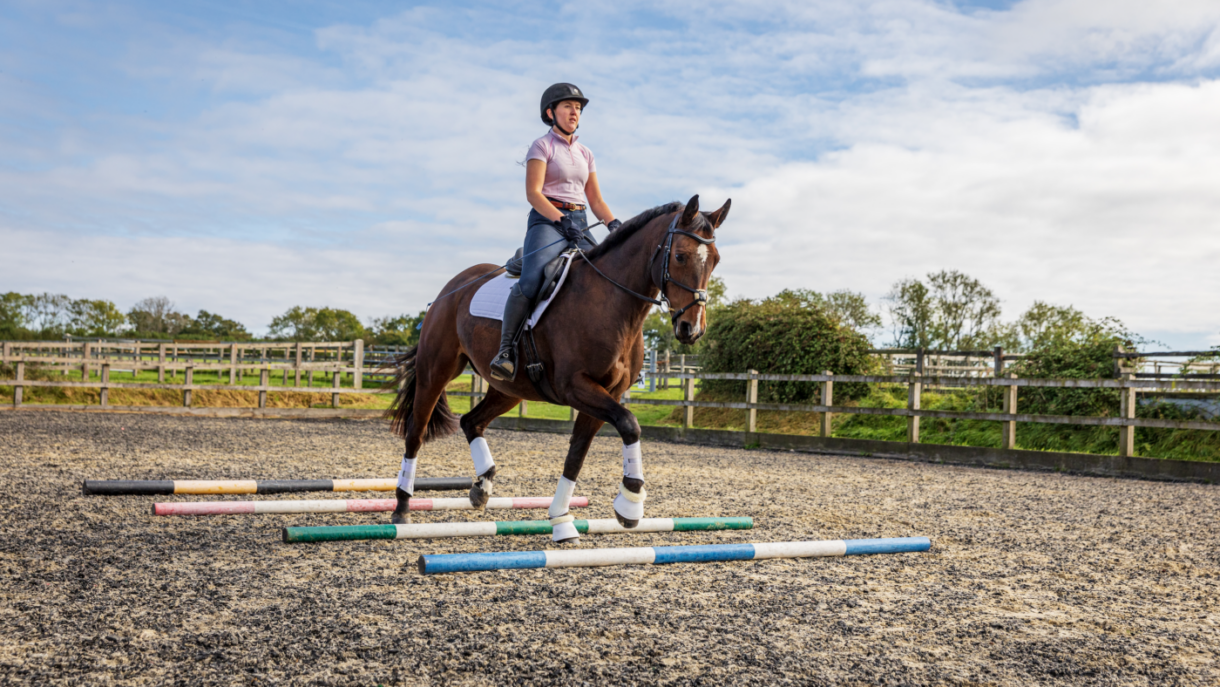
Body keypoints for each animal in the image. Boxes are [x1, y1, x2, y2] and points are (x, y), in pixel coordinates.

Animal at [386, 194, 729, 542]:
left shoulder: (608, 392)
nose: (692, 329)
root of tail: (451, 289)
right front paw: (630, 504)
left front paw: (562, 520)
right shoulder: (575, 386)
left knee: (471, 421)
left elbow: (577, 454)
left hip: (510, 388)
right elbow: (630, 424)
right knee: (416, 433)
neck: (610, 301)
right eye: (680, 256)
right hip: (436, 371)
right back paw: (402, 507)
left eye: (714, 260)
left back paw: (481, 487)